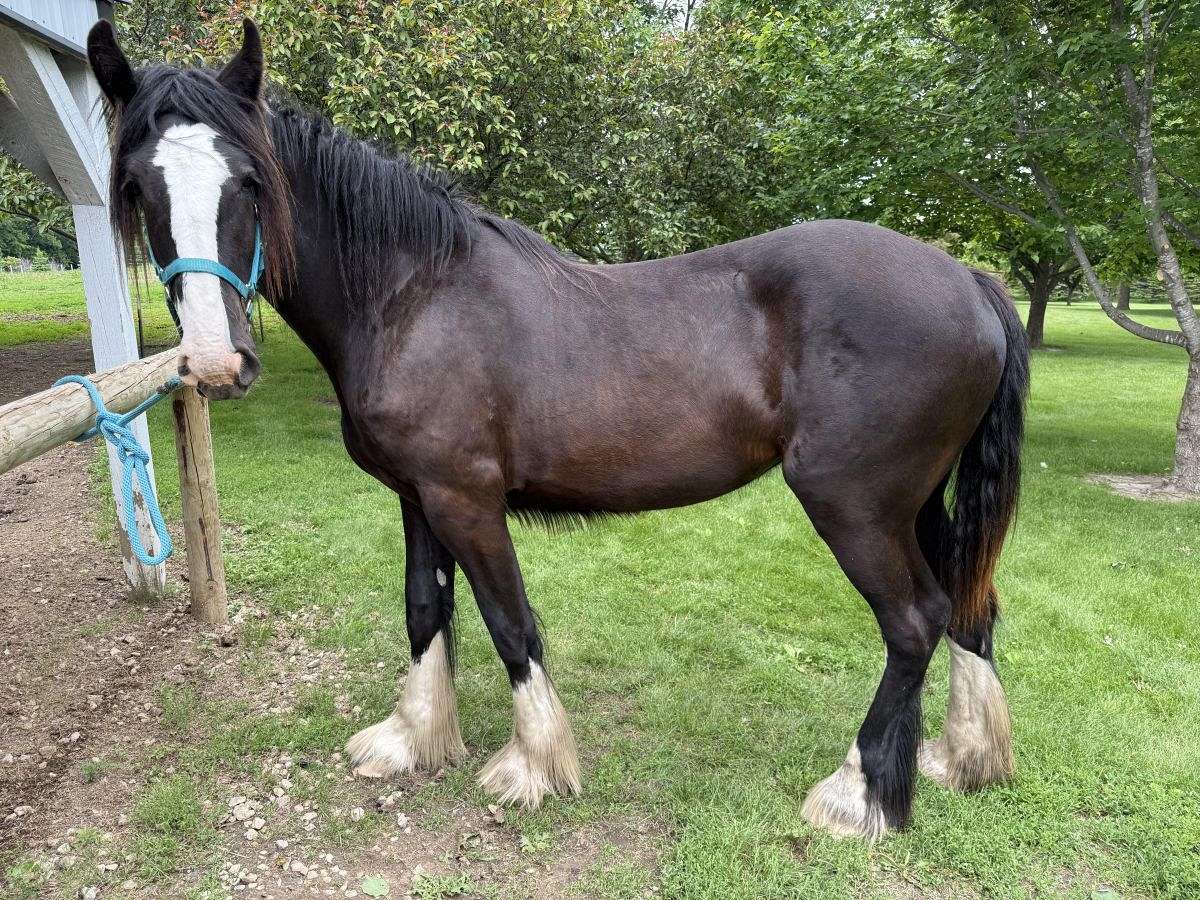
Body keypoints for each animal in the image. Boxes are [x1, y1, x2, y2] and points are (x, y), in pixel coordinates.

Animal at [87, 19, 1029, 840]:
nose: (216, 362)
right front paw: (411, 739)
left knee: (913, 621)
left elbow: (510, 623)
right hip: (917, 502)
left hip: (855, 505)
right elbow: (425, 608)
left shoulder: (466, 500)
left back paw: (857, 794)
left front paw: (531, 766)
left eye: (250, 182)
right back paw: (962, 758)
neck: (412, 295)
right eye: (137, 187)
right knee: (968, 606)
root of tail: (969, 279)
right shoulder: (417, 497)